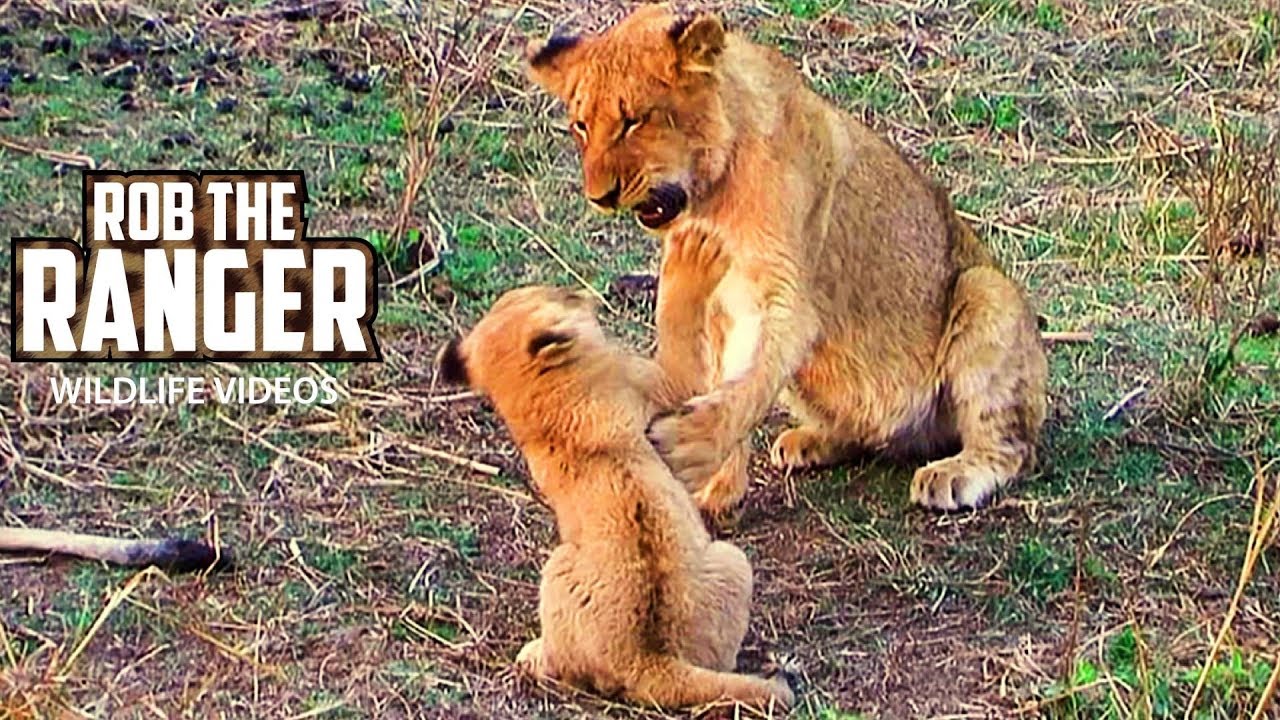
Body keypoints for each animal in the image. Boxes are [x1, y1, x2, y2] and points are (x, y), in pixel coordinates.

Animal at [435, 226, 794, 711]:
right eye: (562, 295)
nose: (585, 293)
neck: (542, 402)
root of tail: (644, 660)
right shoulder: (664, 387)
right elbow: (680, 337)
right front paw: (693, 253)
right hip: (726, 561)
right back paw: (535, 653)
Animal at [525, 4, 1048, 513]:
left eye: (634, 119)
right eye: (581, 125)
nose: (600, 197)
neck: (711, 195)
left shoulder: (785, 298)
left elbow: (749, 384)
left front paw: (694, 444)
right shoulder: (720, 302)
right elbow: (727, 375)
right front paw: (721, 488)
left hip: (985, 292)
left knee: (1012, 446)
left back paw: (954, 473)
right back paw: (812, 441)